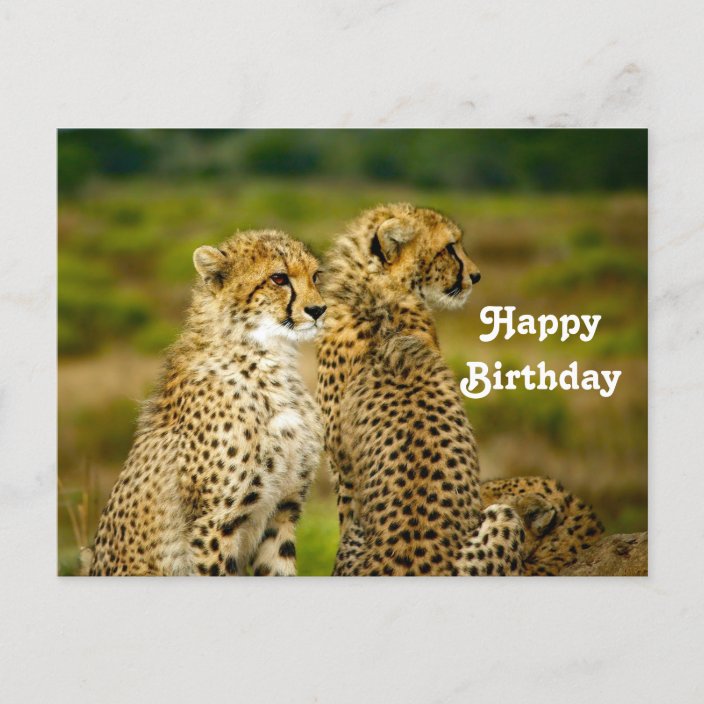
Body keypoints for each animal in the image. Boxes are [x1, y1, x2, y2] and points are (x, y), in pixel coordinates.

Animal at [86, 229, 325, 576]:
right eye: (279, 278)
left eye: (316, 276)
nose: (319, 310)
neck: (270, 359)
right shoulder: (214, 524)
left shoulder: (283, 511)